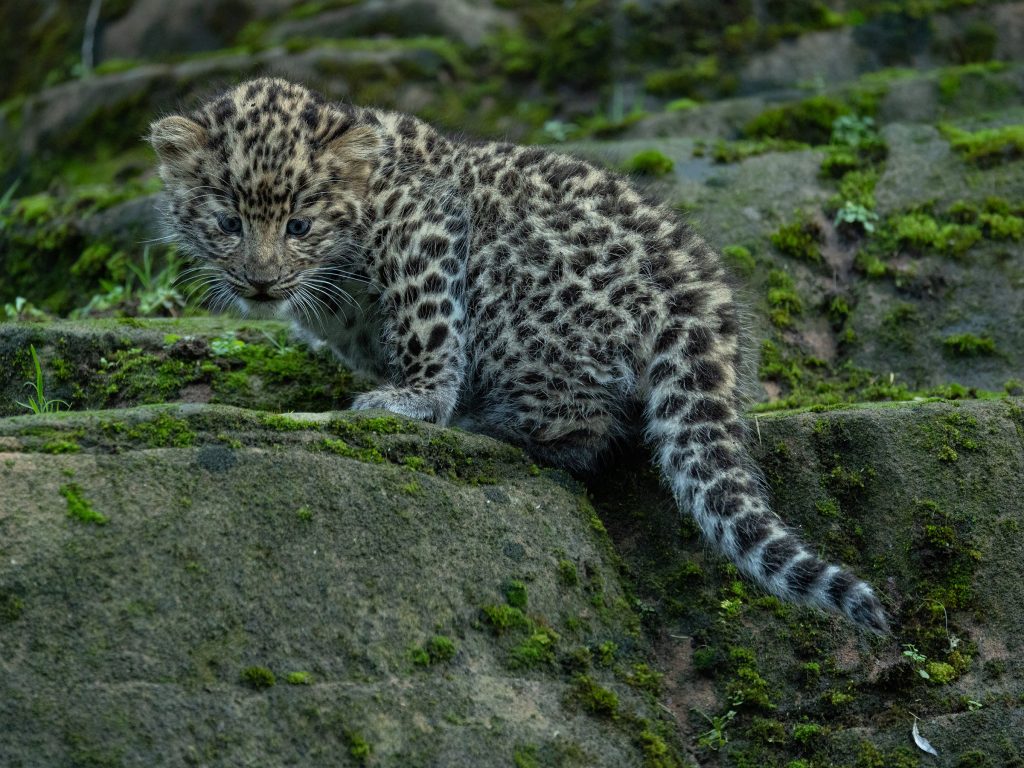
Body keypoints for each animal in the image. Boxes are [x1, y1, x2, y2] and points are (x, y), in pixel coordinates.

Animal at [150, 77, 888, 633]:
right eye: (228, 223)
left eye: (300, 224)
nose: (260, 280)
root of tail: (697, 297)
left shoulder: (422, 228)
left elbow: (427, 326)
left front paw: (415, 401)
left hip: (512, 294)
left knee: (584, 429)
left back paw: (488, 424)